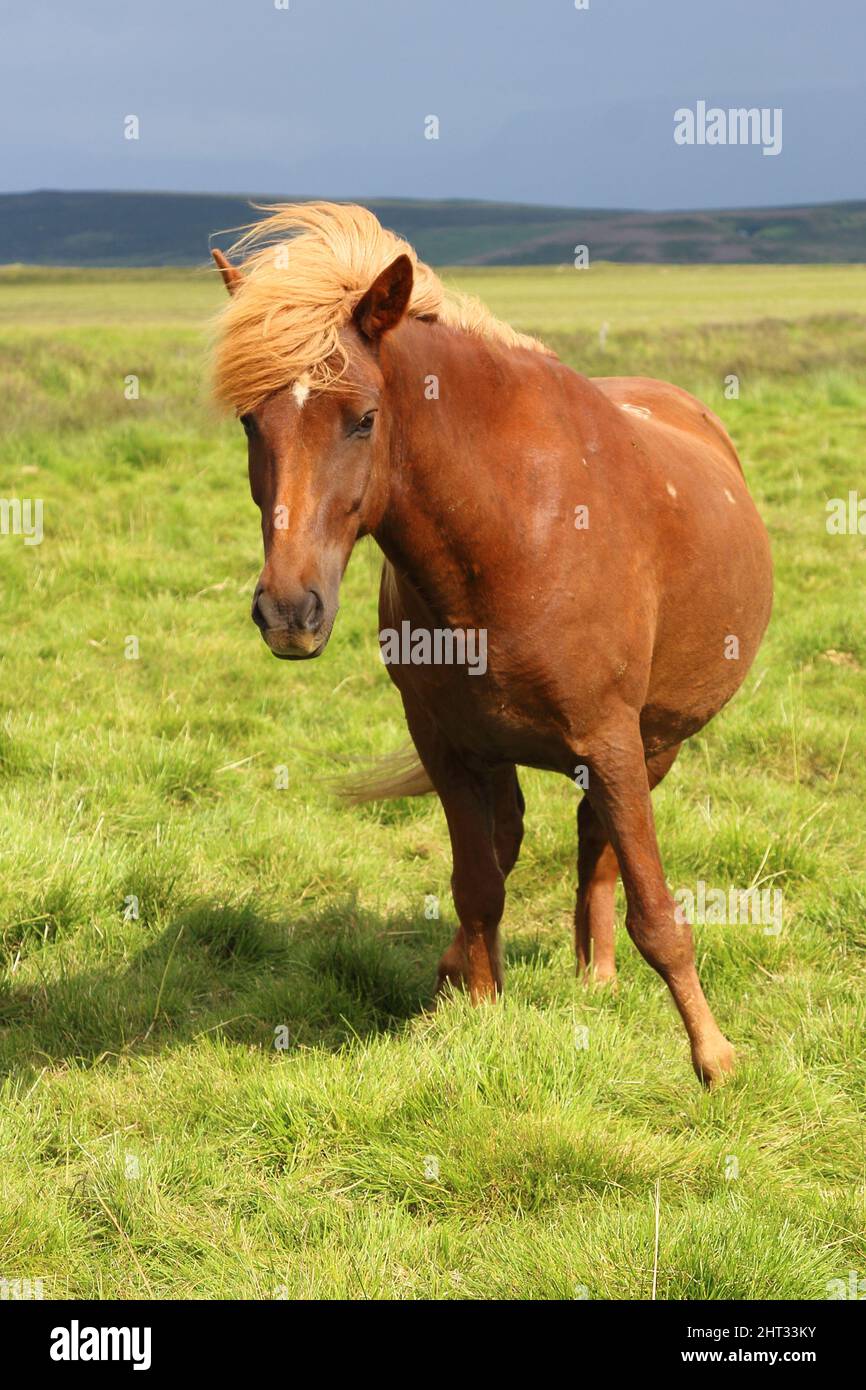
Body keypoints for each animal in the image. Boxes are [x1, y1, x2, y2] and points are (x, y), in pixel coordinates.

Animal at [211, 202, 773, 1086]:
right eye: (248, 421)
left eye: (364, 419)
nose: (290, 612)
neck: (515, 528)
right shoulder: (448, 746)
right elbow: (478, 884)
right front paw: (478, 1009)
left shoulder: (613, 741)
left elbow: (653, 907)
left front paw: (713, 1057)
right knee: (517, 844)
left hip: (656, 743)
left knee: (595, 843)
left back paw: (597, 974)